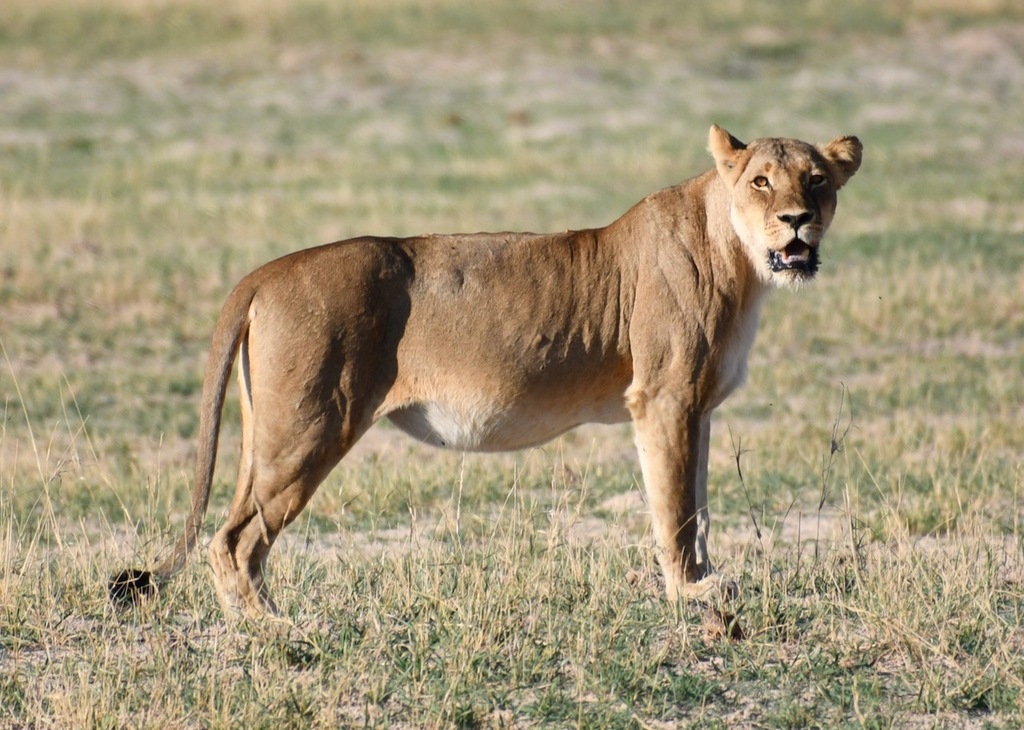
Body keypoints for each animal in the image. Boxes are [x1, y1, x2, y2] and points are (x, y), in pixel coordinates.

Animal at [109, 125, 862, 618]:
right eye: (760, 181)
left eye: (816, 181)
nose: (797, 220)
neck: (741, 264)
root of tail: (266, 272)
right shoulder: (664, 399)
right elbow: (674, 510)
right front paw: (691, 594)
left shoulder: (696, 409)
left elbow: (698, 506)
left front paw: (706, 579)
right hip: (308, 428)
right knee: (233, 540)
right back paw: (273, 630)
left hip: (267, 431)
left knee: (239, 533)